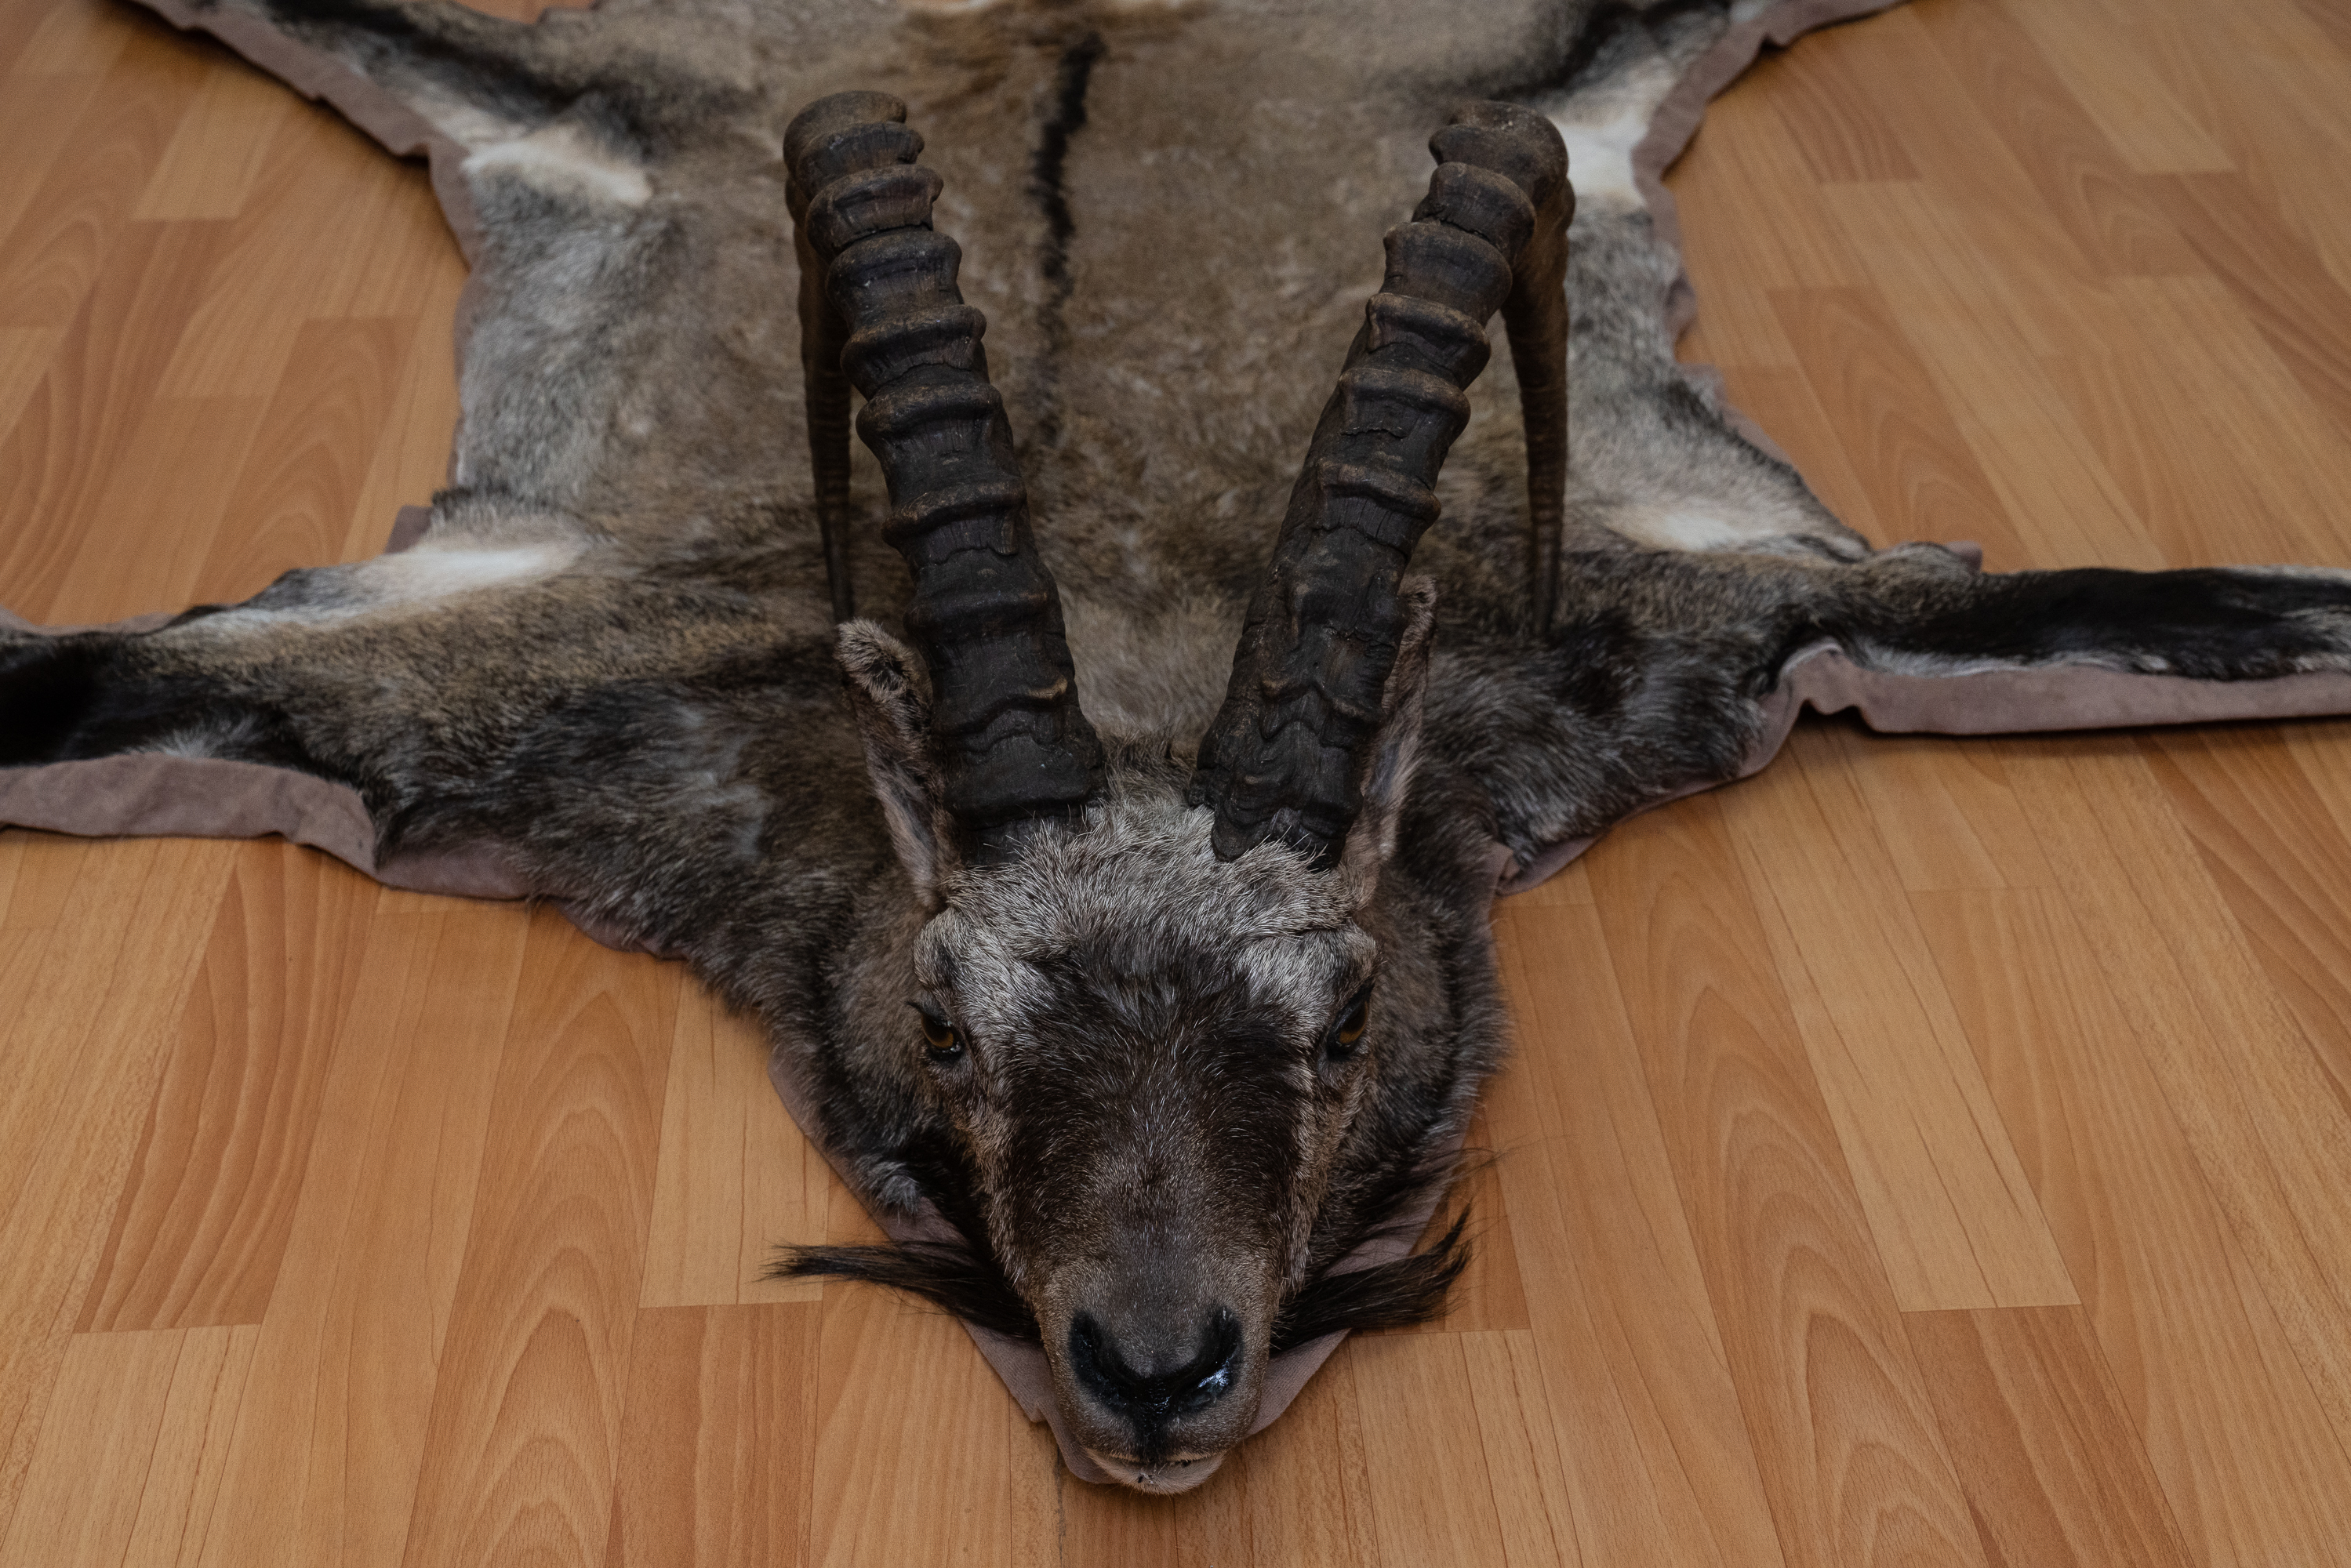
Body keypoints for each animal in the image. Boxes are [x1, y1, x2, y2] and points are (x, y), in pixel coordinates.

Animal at [5, 0, 2351, 1494]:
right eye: (943, 1021)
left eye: (1347, 1014)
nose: (1153, 1370)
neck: (1144, 648)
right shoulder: (502, 715)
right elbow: (70, 684)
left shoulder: (1691, 636)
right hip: (615, 76)